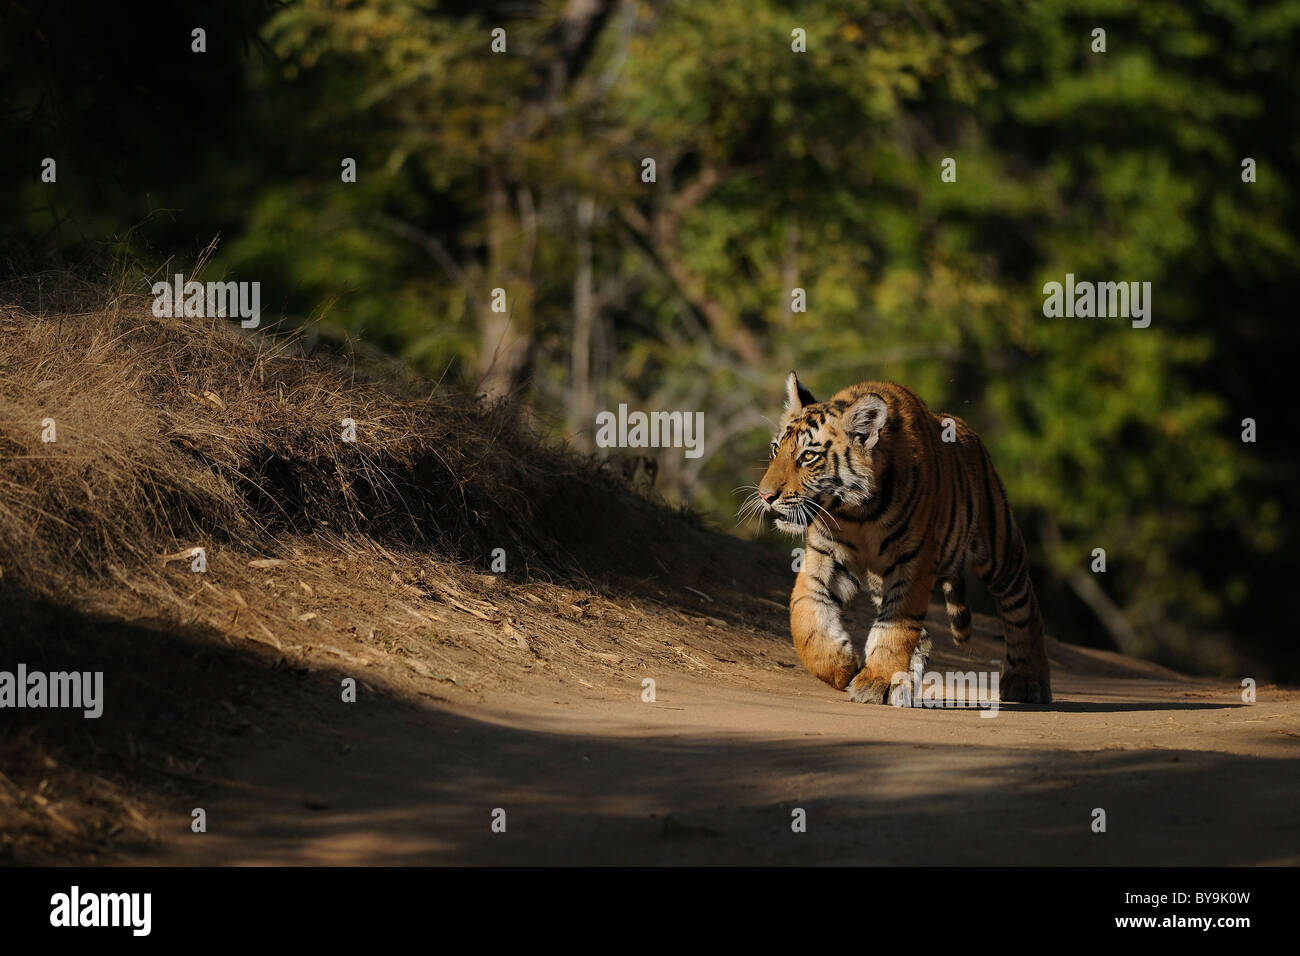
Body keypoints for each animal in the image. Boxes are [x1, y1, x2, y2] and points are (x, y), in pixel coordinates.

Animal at [753, 372, 1052, 705]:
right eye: (775, 450)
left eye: (808, 456)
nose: (765, 496)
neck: (855, 512)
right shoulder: (825, 554)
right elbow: (805, 614)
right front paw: (843, 667)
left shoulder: (914, 562)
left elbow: (896, 628)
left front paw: (876, 681)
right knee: (926, 637)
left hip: (1000, 551)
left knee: (1023, 607)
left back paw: (1026, 680)